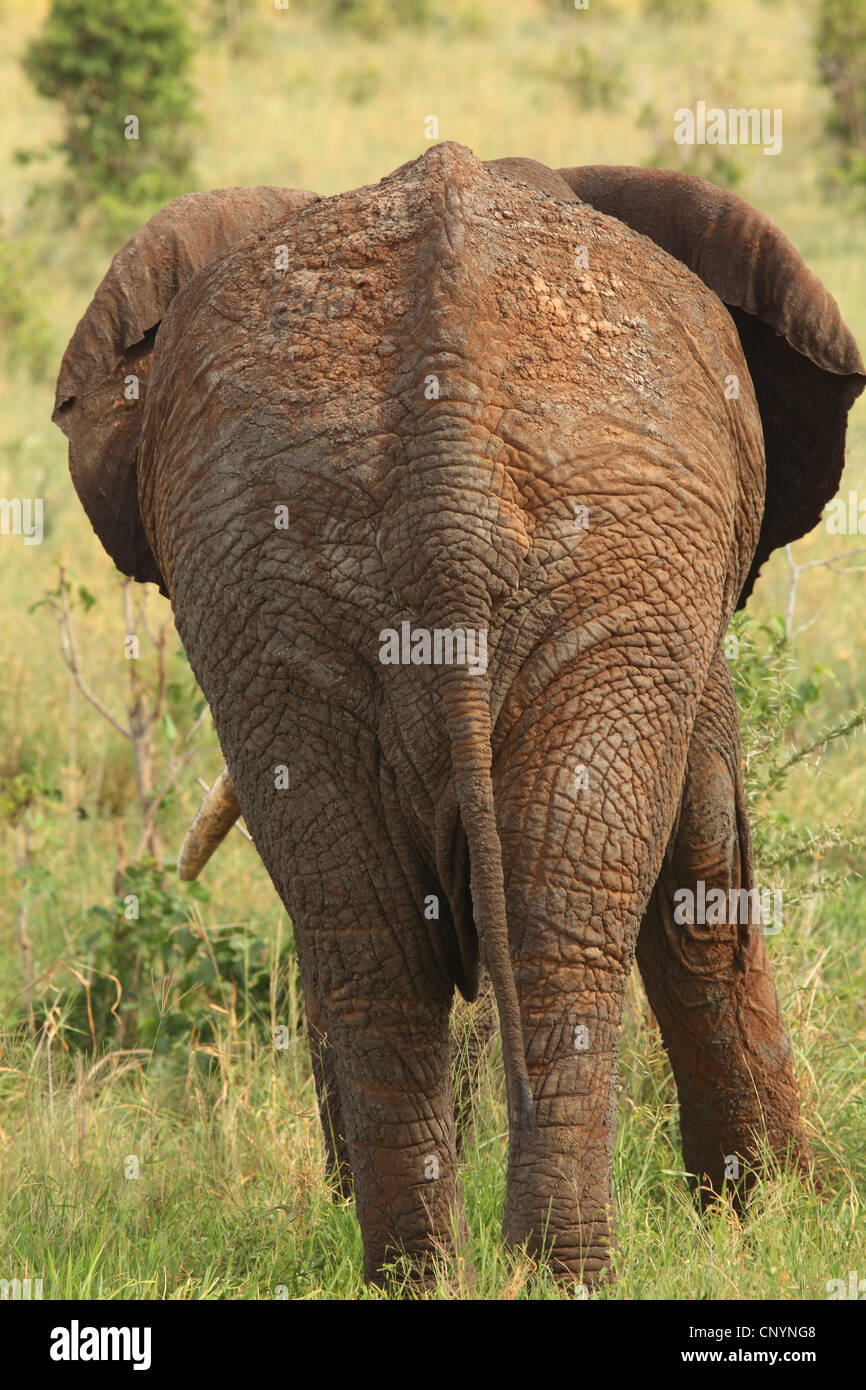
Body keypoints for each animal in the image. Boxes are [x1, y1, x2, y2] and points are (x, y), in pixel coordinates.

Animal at [53, 142, 864, 1287]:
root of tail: (451, 475)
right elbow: (707, 852)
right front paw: (779, 1209)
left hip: (273, 579)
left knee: (374, 938)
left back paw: (423, 1275)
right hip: (595, 563)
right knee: (550, 921)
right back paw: (559, 1273)